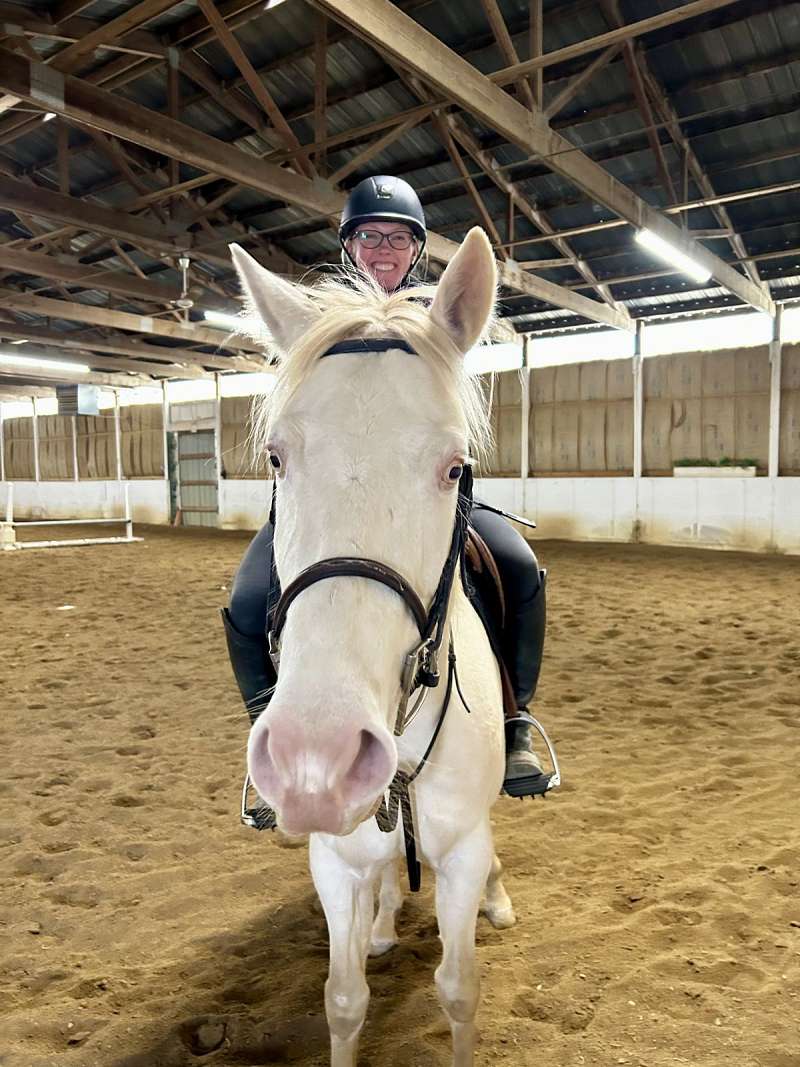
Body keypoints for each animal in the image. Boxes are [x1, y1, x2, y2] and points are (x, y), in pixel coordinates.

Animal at [231, 227, 518, 1067]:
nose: (314, 761)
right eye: (277, 457)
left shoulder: (460, 851)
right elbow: (343, 997)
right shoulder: (333, 860)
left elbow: (459, 990)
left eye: (454, 466)